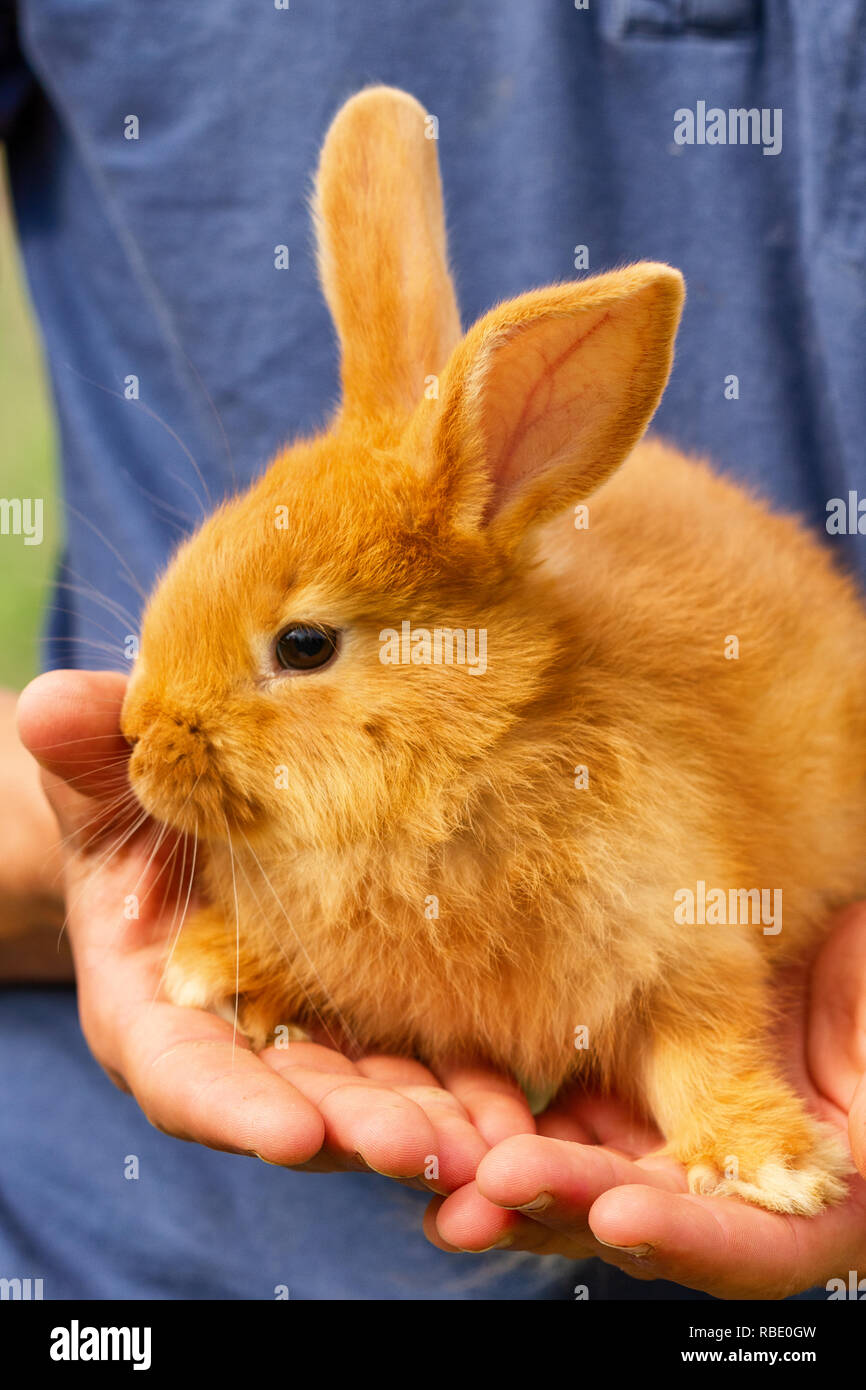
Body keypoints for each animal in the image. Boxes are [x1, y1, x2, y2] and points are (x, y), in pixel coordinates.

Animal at [120, 86, 866, 1216]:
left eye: (304, 644)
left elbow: (708, 1048)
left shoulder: (686, 935)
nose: (138, 740)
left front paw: (774, 1166)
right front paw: (211, 966)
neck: (464, 762)